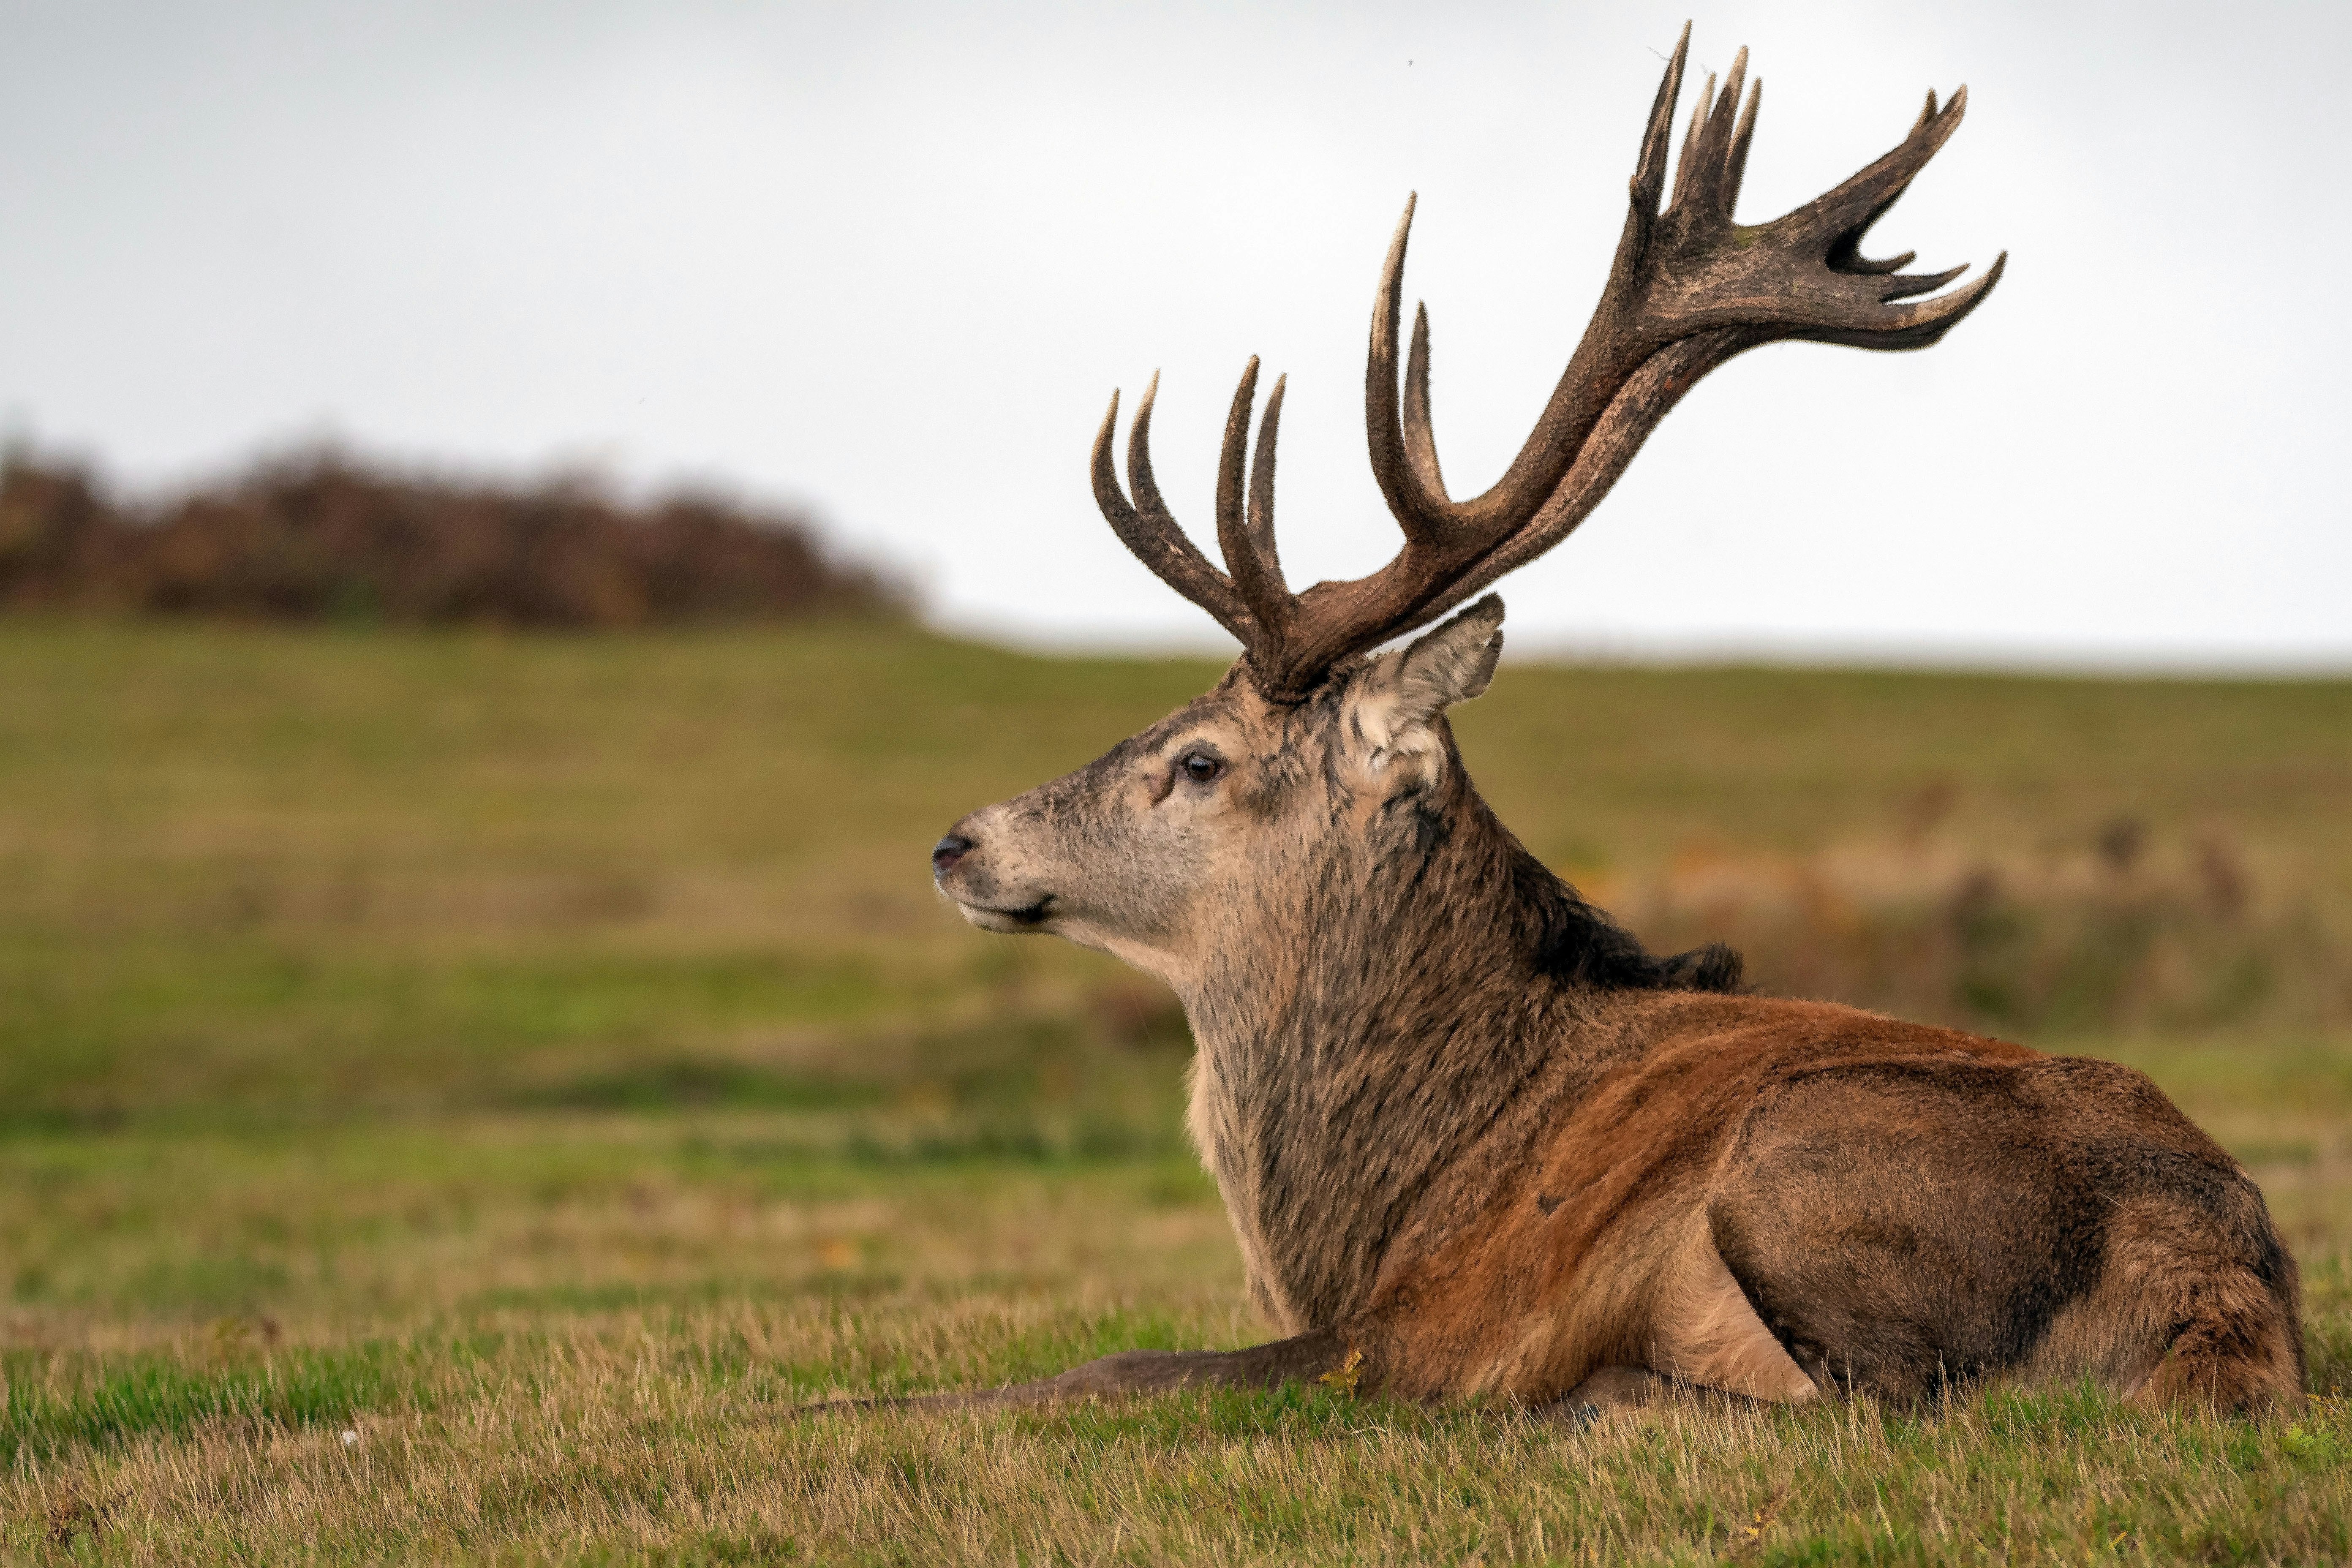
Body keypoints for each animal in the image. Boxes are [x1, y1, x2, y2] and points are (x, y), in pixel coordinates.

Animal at [916, 28, 2304, 1418]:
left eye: (1197, 760)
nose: (958, 843)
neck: (1383, 1188)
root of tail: (2226, 1299)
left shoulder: (1419, 1327)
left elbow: (1112, 1362)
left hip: (1800, 1155)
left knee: (1884, 1402)